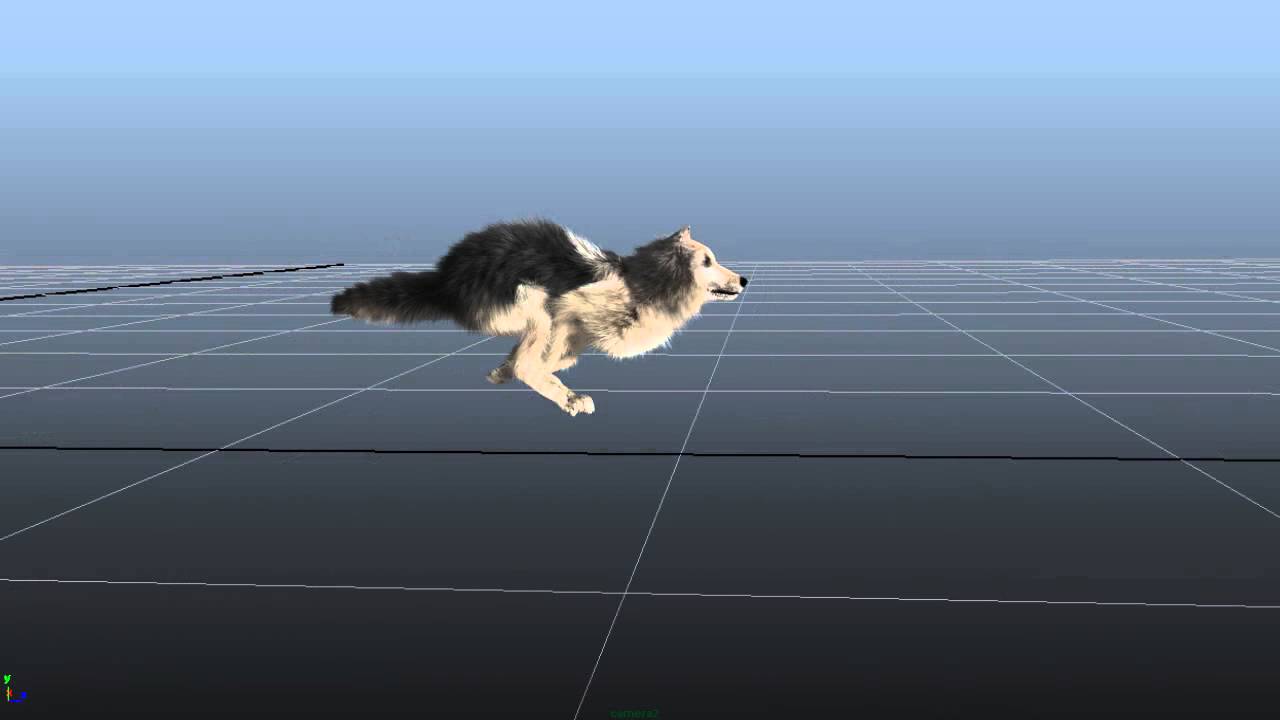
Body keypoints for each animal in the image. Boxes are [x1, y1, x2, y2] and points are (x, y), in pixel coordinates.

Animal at [330, 219, 747, 415]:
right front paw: (561, 392)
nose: (744, 279)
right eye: (707, 261)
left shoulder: (573, 332)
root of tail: (446, 279)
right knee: (531, 359)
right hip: (532, 300)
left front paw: (503, 370)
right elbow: (536, 364)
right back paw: (568, 398)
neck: (640, 282)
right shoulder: (565, 308)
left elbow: (548, 359)